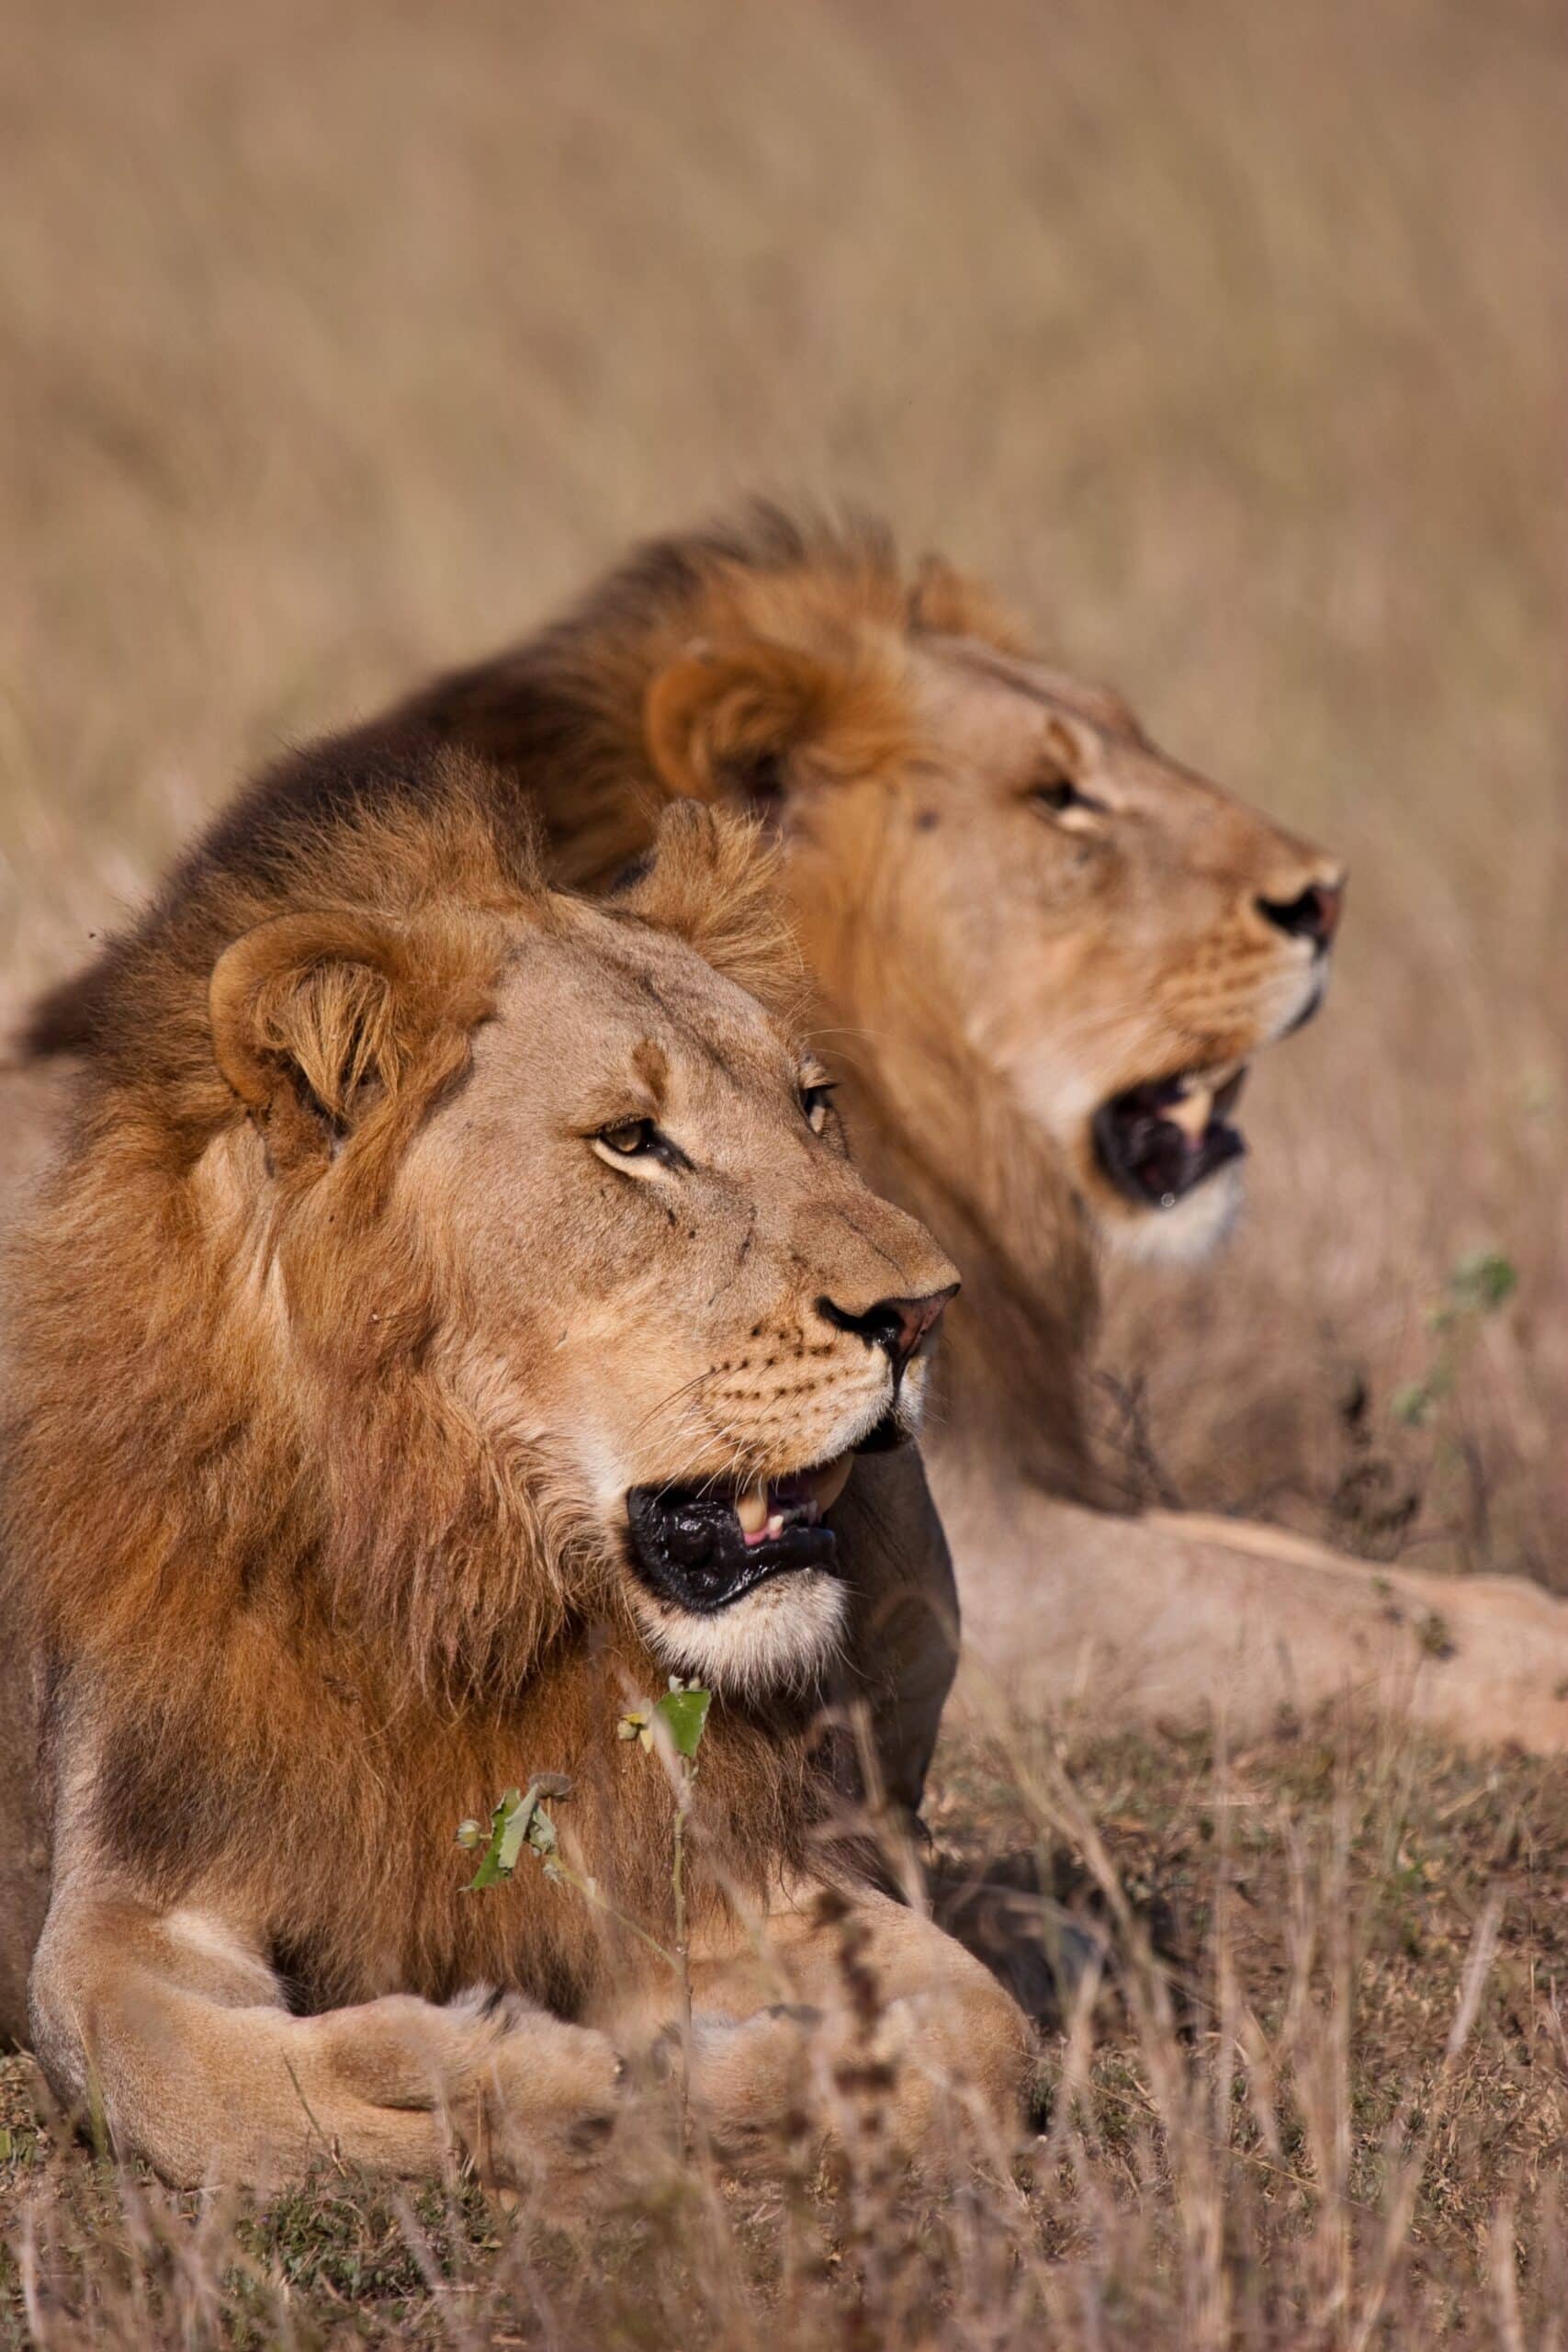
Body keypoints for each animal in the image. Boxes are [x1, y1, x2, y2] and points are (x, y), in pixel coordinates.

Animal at [0, 745, 1030, 2183]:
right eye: (632, 1140)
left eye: (813, 1107)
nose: (924, 1310)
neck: (462, 1568)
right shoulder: (133, 1891)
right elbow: (180, 2077)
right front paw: (497, 2073)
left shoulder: (745, 1863)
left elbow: (982, 2033)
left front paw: (708, 2077)